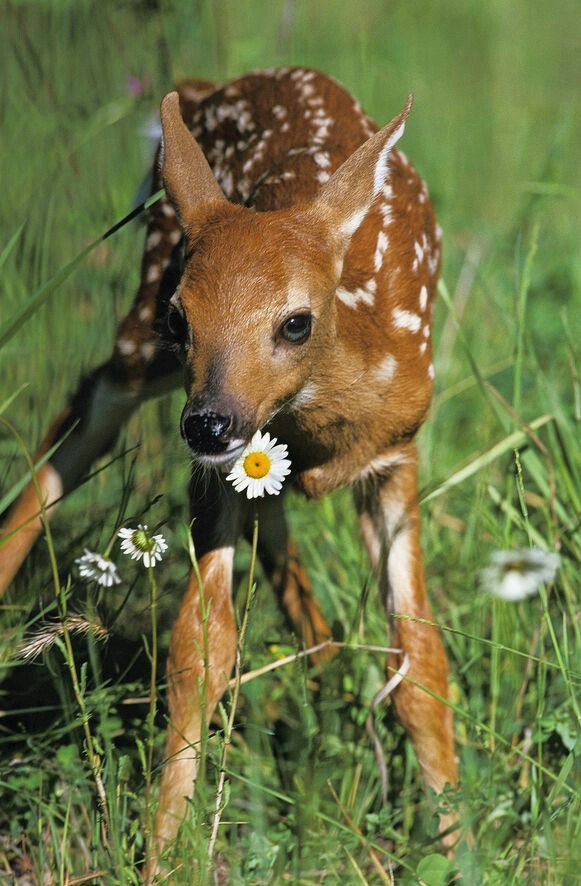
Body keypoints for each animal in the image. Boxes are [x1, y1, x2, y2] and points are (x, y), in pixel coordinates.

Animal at [0, 67, 458, 874]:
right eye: (183, 318)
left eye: (295, 321)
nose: (208, 423)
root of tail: (217, 84)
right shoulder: (210, 472)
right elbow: (200, 651)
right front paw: (160, 857)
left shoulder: (397, 454)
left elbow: (420, 661)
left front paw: (454, 840)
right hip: (138, 337)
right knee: (77, 427)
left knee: (278, 543)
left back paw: (327, 687)